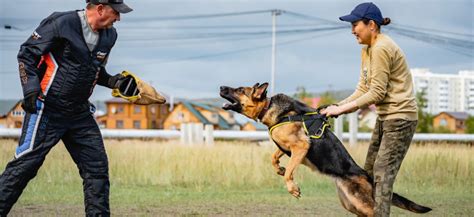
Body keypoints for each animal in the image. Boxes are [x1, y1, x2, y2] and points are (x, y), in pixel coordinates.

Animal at [220, 82, 432, 215]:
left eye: (240, 89)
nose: (221, 87)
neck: (269, 107)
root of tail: (366, 176)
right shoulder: (287, 147)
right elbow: (274, 157)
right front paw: (279, 168)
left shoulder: (300, 146)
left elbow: (289, 172)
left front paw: (292, 187)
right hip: (351, 204)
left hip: (361, 204)